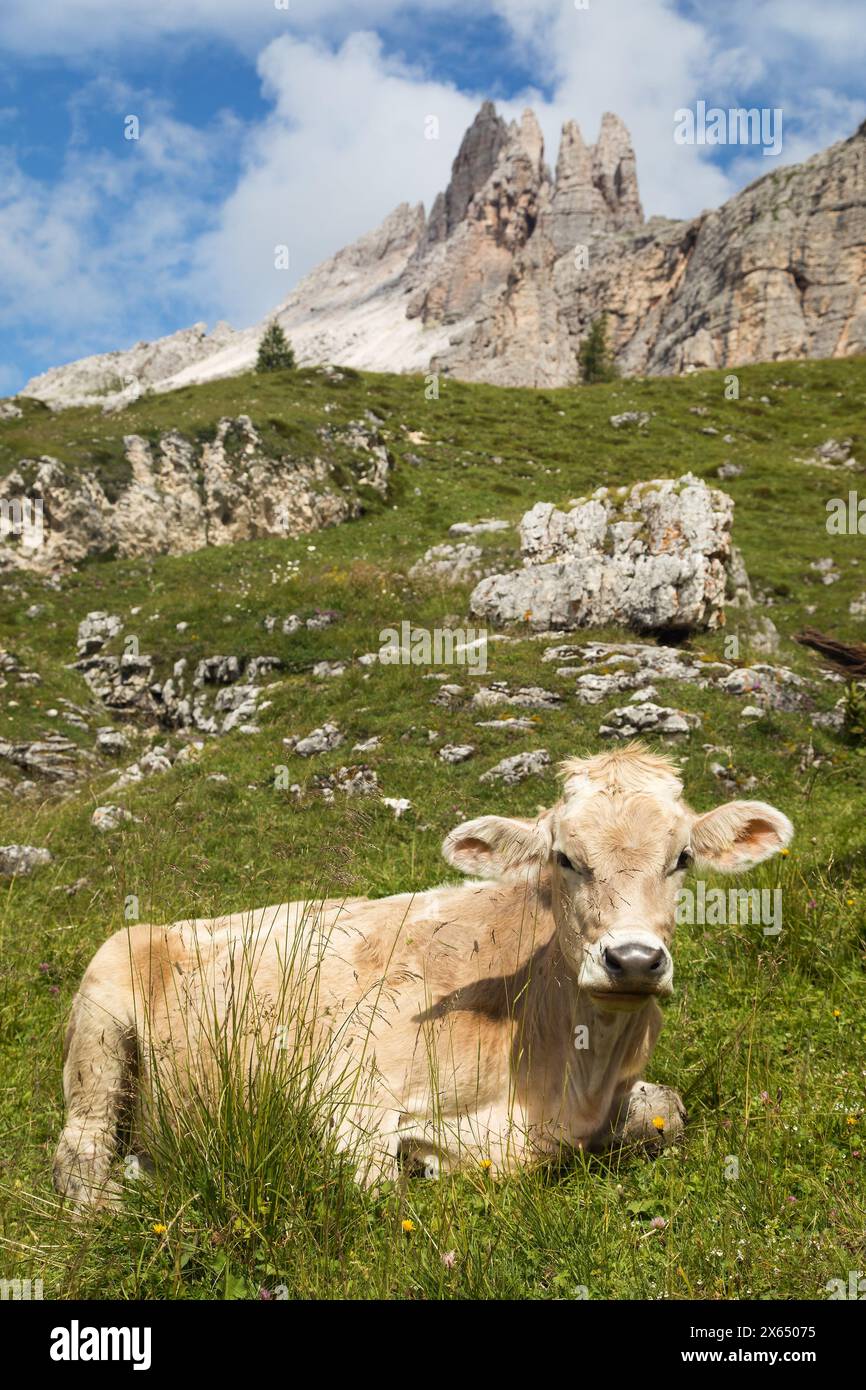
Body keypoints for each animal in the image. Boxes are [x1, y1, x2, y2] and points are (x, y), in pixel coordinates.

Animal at [54, 742, 792, 1208]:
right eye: (564, 858)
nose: (633, 960)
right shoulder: (344, 1094)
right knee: (79, 1157)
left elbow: (670, 1110)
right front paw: (432, 1159)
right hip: (100, 1027)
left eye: (682, 858)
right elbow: (386, 1184)